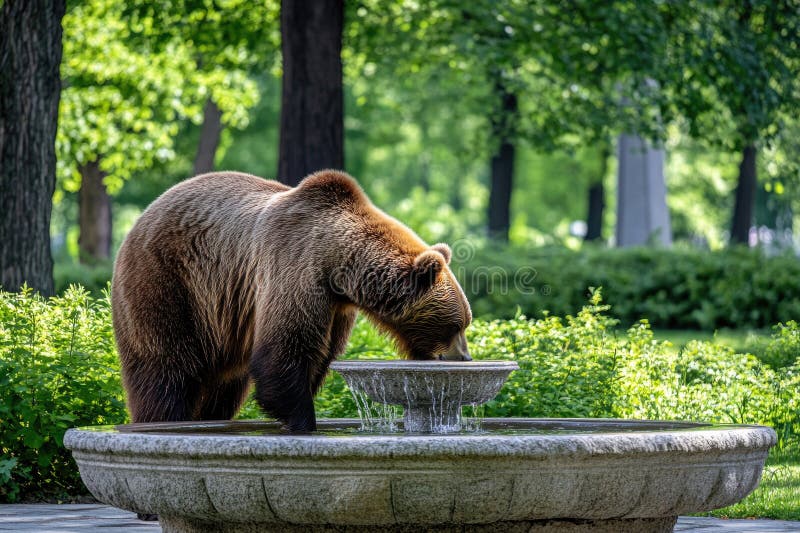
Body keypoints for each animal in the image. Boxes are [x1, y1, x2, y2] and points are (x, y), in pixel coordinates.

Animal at [111, 170, 472, 432]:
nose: (465, 358)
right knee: (166, 367)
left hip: (220, 322)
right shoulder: (297, 268)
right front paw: (302, 421)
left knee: (224, 386)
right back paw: (164, 420)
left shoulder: (337, 309)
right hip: (170, 285)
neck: (339, 269)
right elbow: (286, 347)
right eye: (456, 325)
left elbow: (320, 356)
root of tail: (138, 221)